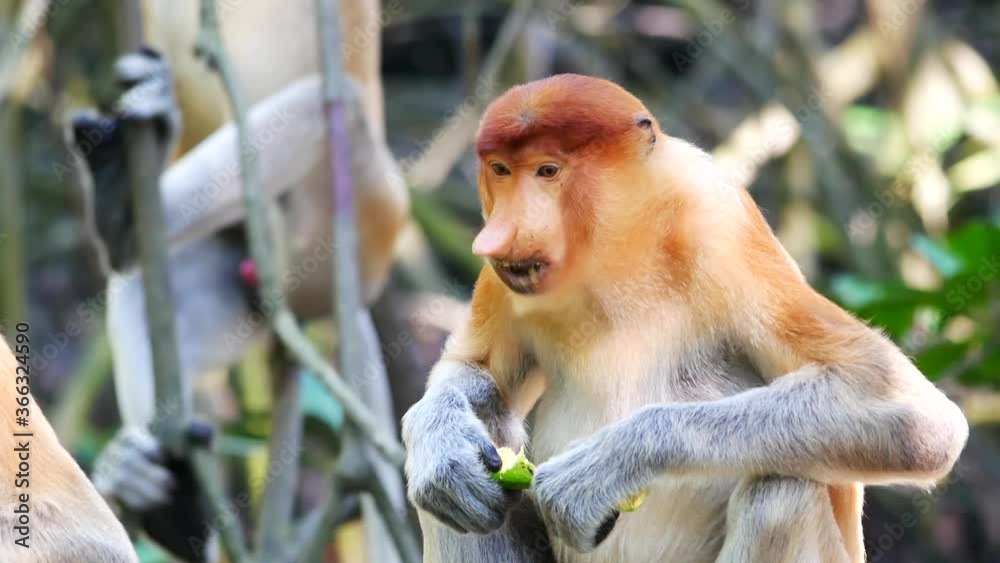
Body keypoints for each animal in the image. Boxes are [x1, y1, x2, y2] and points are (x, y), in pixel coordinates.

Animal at [400, 74, 970, 563]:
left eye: (548, 171)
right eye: (500, 170)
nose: (498, 236)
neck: (615, 252)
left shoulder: (718, 220)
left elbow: (916, 416)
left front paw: (600, 469)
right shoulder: (505, 278)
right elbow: (473, 370)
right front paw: (441, 450)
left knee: (781, 493)